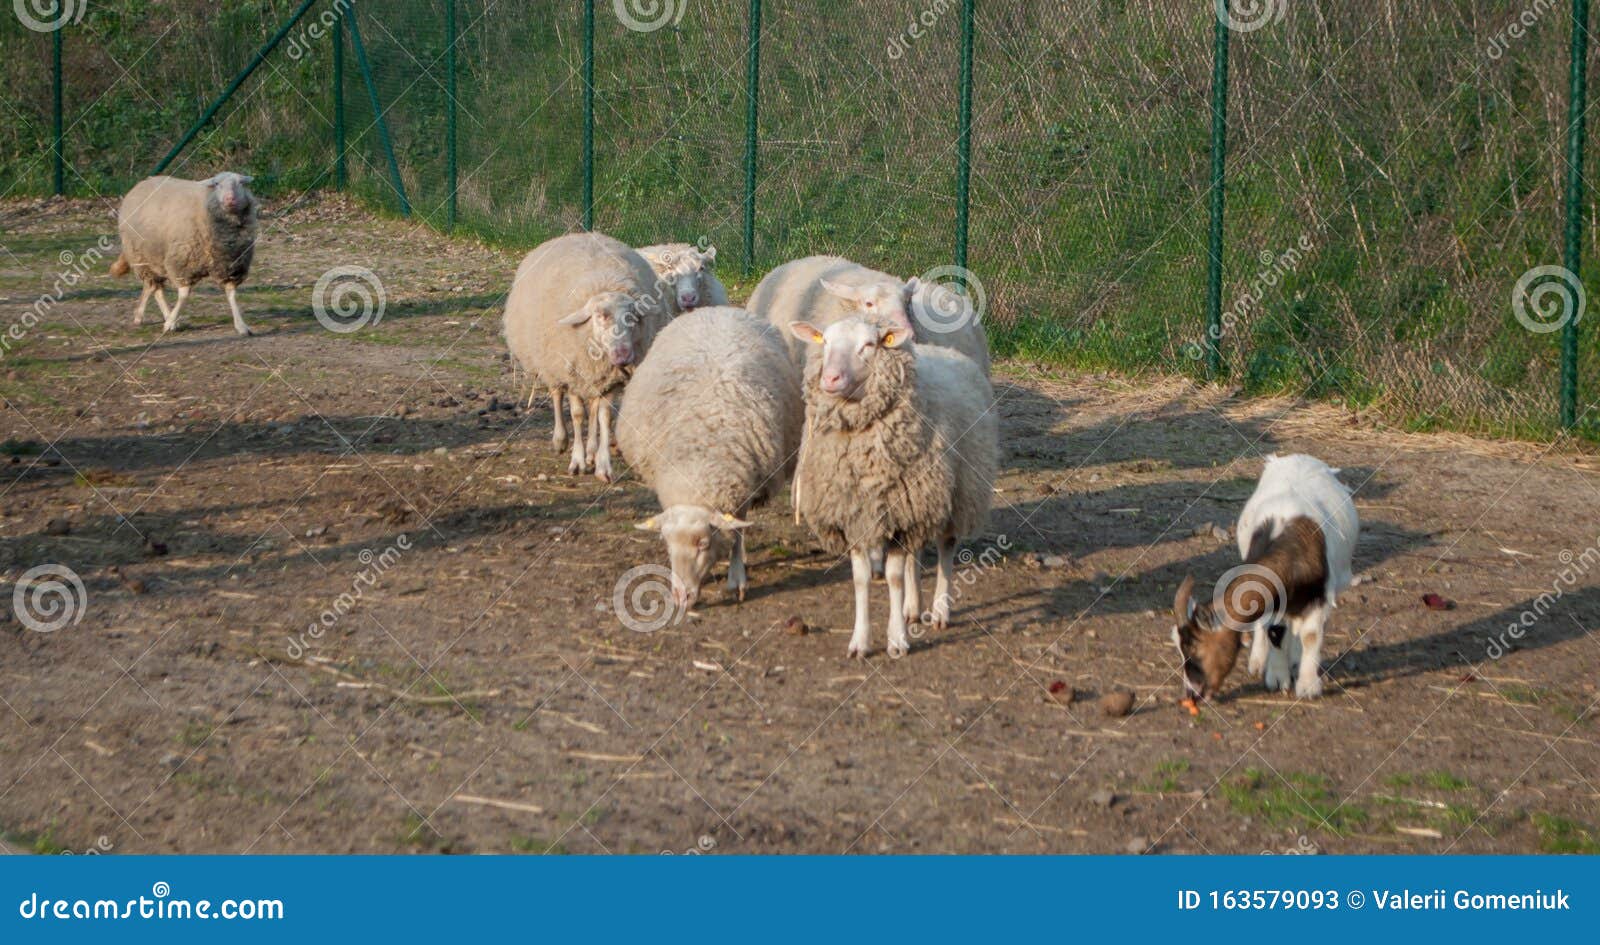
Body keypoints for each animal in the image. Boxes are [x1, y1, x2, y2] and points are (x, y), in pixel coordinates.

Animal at [108, 172, 259, 336]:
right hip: (142, 256)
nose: (230, 199)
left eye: (241, 183)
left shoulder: (230, 264)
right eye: (217, 184)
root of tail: (142, 182)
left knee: (152, 287)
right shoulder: (182, 262)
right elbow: (184, 294)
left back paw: (146, 315)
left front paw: (241, 326)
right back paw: (155, 317)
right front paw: (170, 323)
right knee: (155, 288)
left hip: (155, 257)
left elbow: (231, 294)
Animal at [502, 231, 670, 482]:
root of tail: (578, 234)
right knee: (556, 395)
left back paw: (591, 450)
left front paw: (602, 466)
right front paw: (577, 461)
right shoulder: (572, 372)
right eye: (600, 315)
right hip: (552, 363)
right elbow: (577, 414)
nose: (623, 355)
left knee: (594, 409)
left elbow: (604, 417)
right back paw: (561, 440)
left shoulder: (610, 378)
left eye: (633, 317)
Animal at [617, 306, 803, 608]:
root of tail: (718, 309)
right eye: (666, 543)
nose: (681, 597)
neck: (699, 461)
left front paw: (737, 577)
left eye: (703, 543)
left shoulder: (743, 485)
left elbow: (736, 533)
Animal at [788, 315, 997, 658]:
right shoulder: (858, 514)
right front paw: (860, 641)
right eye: (825, 341)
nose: (830, 378)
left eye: (868, 345)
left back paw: (939, 610)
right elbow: (861, 580)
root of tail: (946, 351)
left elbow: (894, 578)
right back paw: (913, 607)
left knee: (946, 548)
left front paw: (897, 640)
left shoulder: (905, 514)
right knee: (916, 552)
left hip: (955, 493)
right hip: (919, 503)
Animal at [1170, 453, 1359, 700]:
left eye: (1194, 647)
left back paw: (1295, 661)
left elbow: (1310, 635)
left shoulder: (1319, 597)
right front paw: (1277, 678)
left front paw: (1308, 686)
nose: (1192, 693)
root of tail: (1297, 457)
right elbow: (1274, 631)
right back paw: (1259, 662)